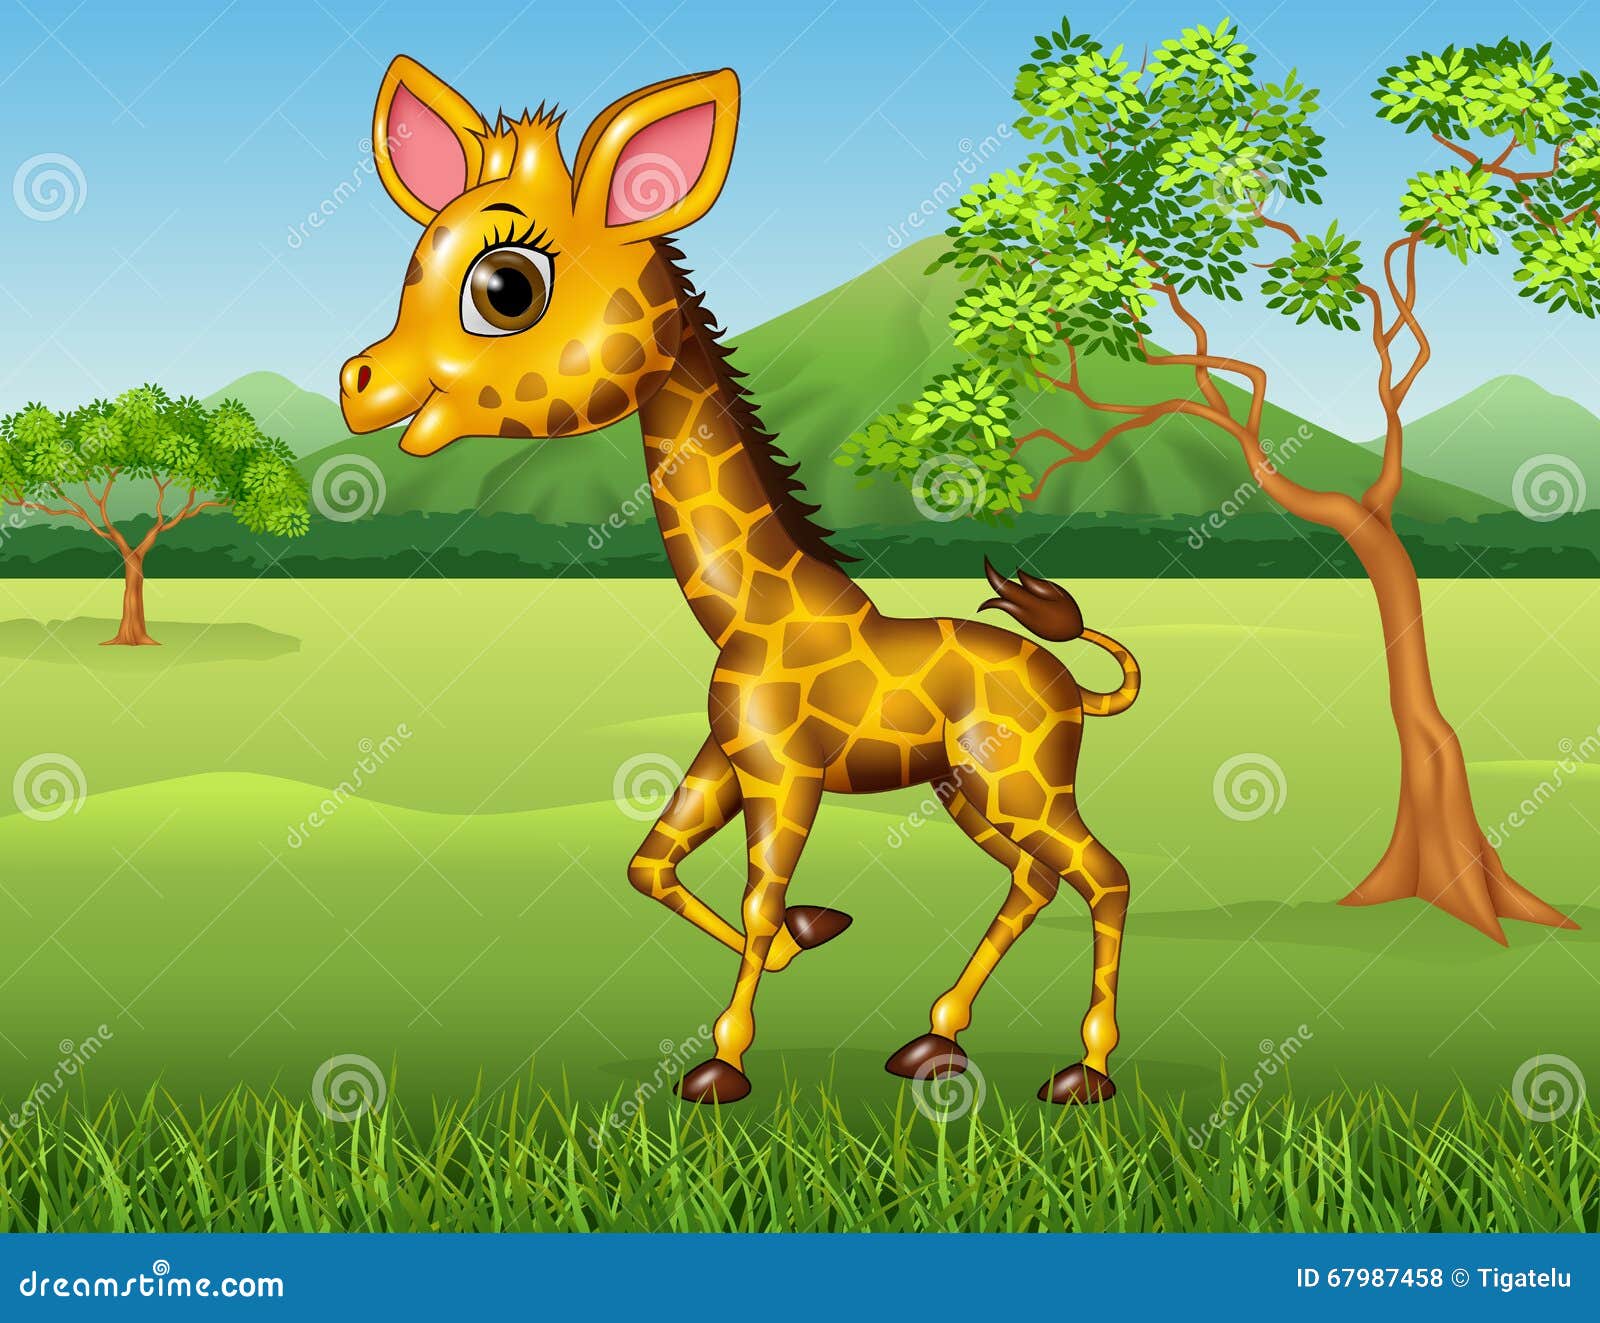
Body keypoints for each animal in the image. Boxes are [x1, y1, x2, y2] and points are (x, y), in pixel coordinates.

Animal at [340, 57, 1143, 1106]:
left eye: (506, 286)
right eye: (412, 263)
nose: (356, 385)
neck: (748, 609)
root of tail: (1076, 691)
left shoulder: (785, 771)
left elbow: (758, 901)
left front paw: (720, 1062)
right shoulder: (726, 759)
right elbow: (652, 867)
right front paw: (815, 933)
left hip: (1022, 786)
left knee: (1106, 875)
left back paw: (1084, 1070)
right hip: (968, 791)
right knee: (1037, 880)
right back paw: (935, 1040)